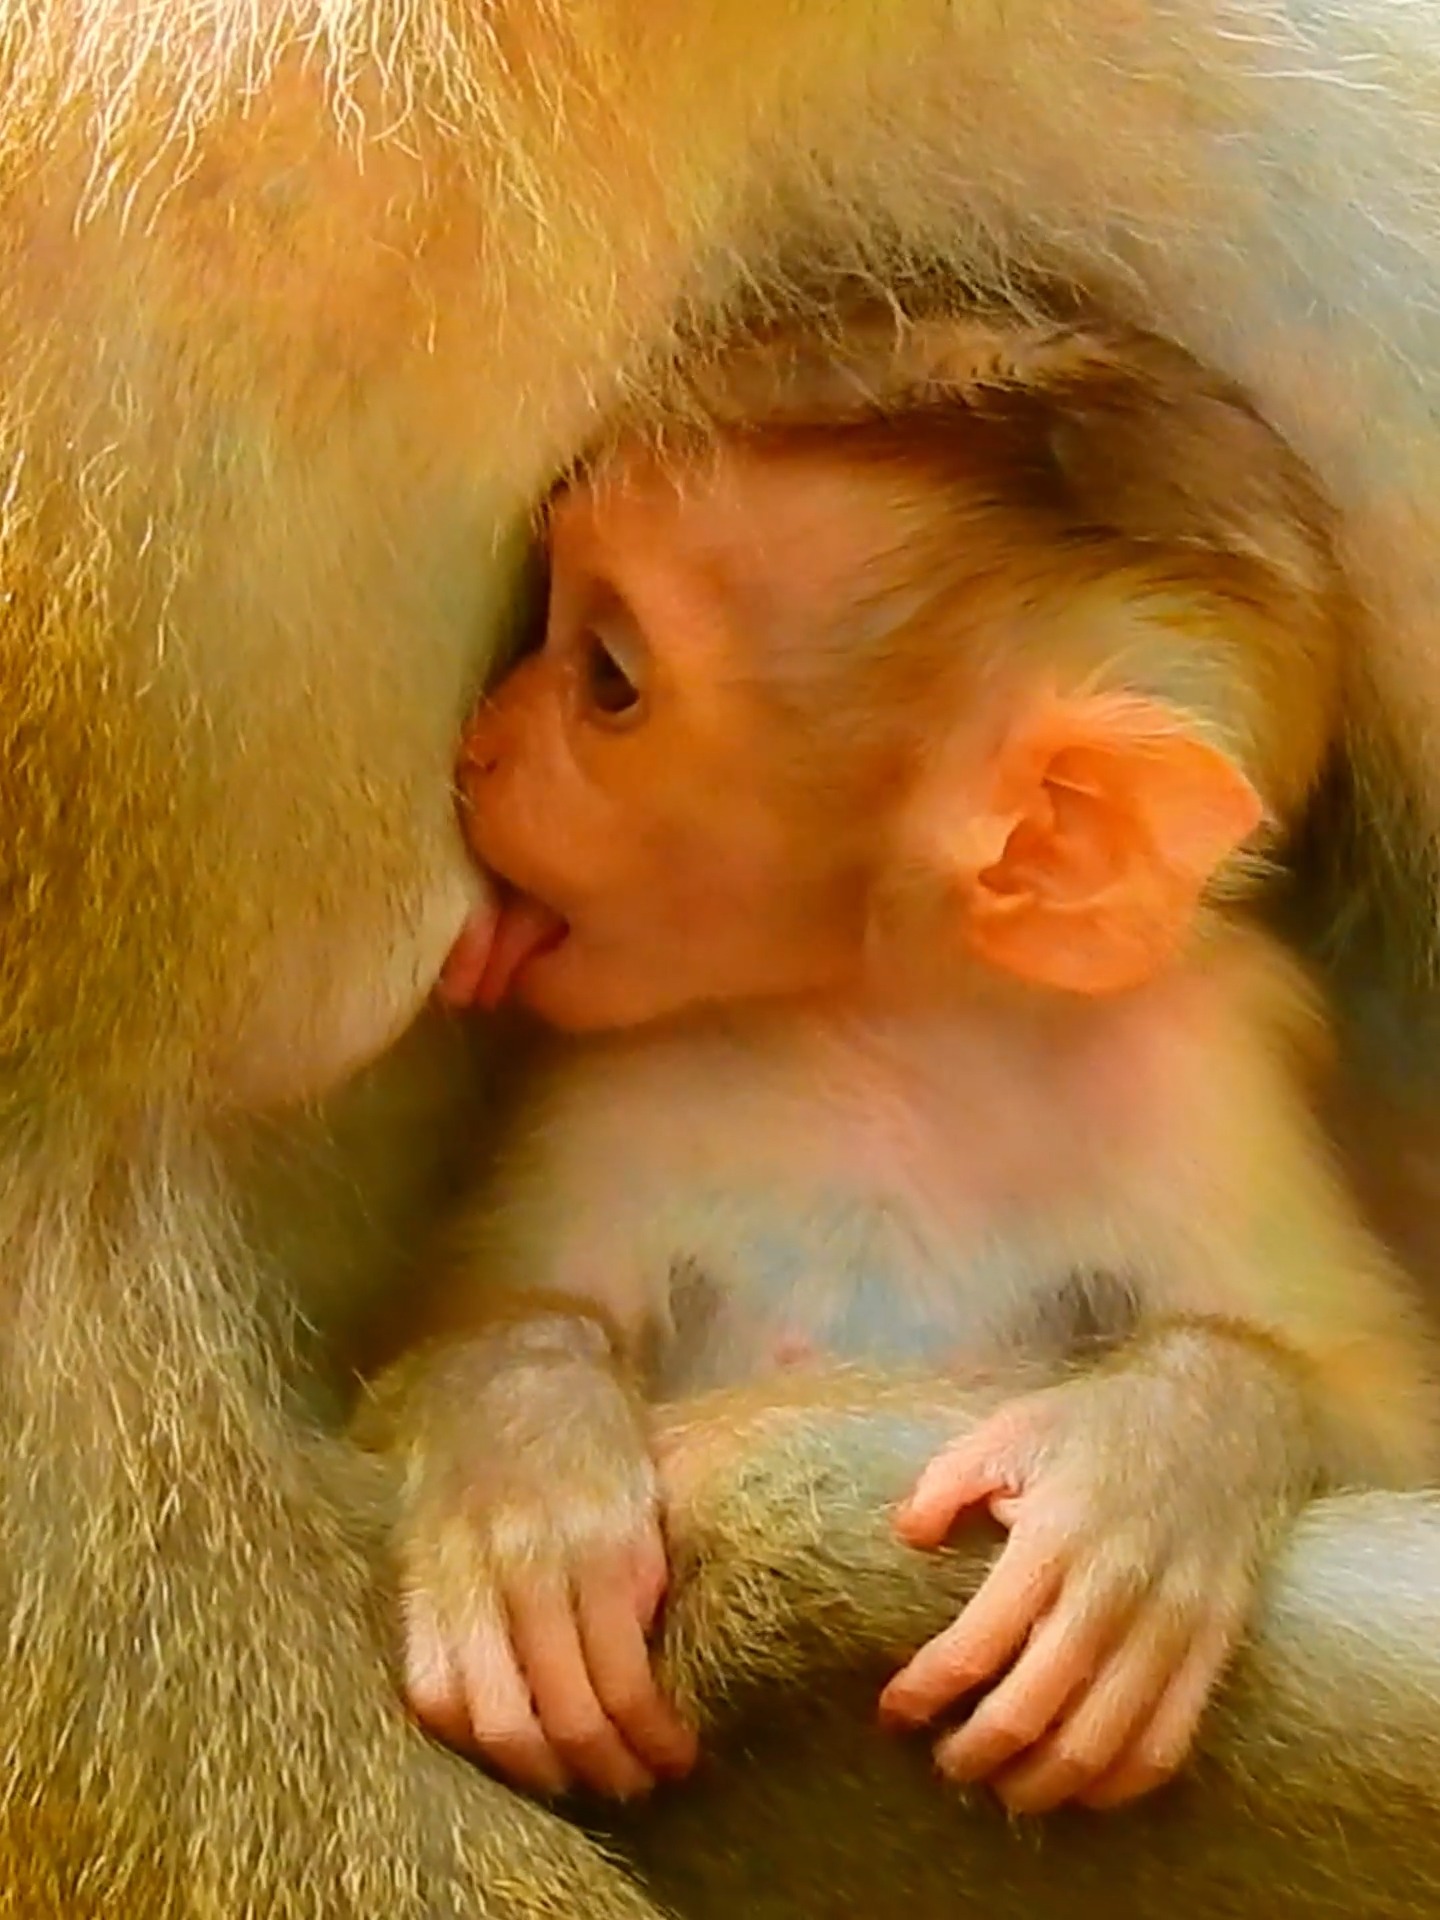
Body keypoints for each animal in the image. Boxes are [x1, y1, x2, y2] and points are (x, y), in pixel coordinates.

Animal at [364, 325, 1437, 1823]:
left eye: (609, 678)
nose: (480, 748)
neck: (898, 1031)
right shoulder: (617, 1082)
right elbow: (456, 1326)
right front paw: (518, 1454)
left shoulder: (1205, 1089)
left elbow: (1383, 1413)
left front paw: (1158, 1455)